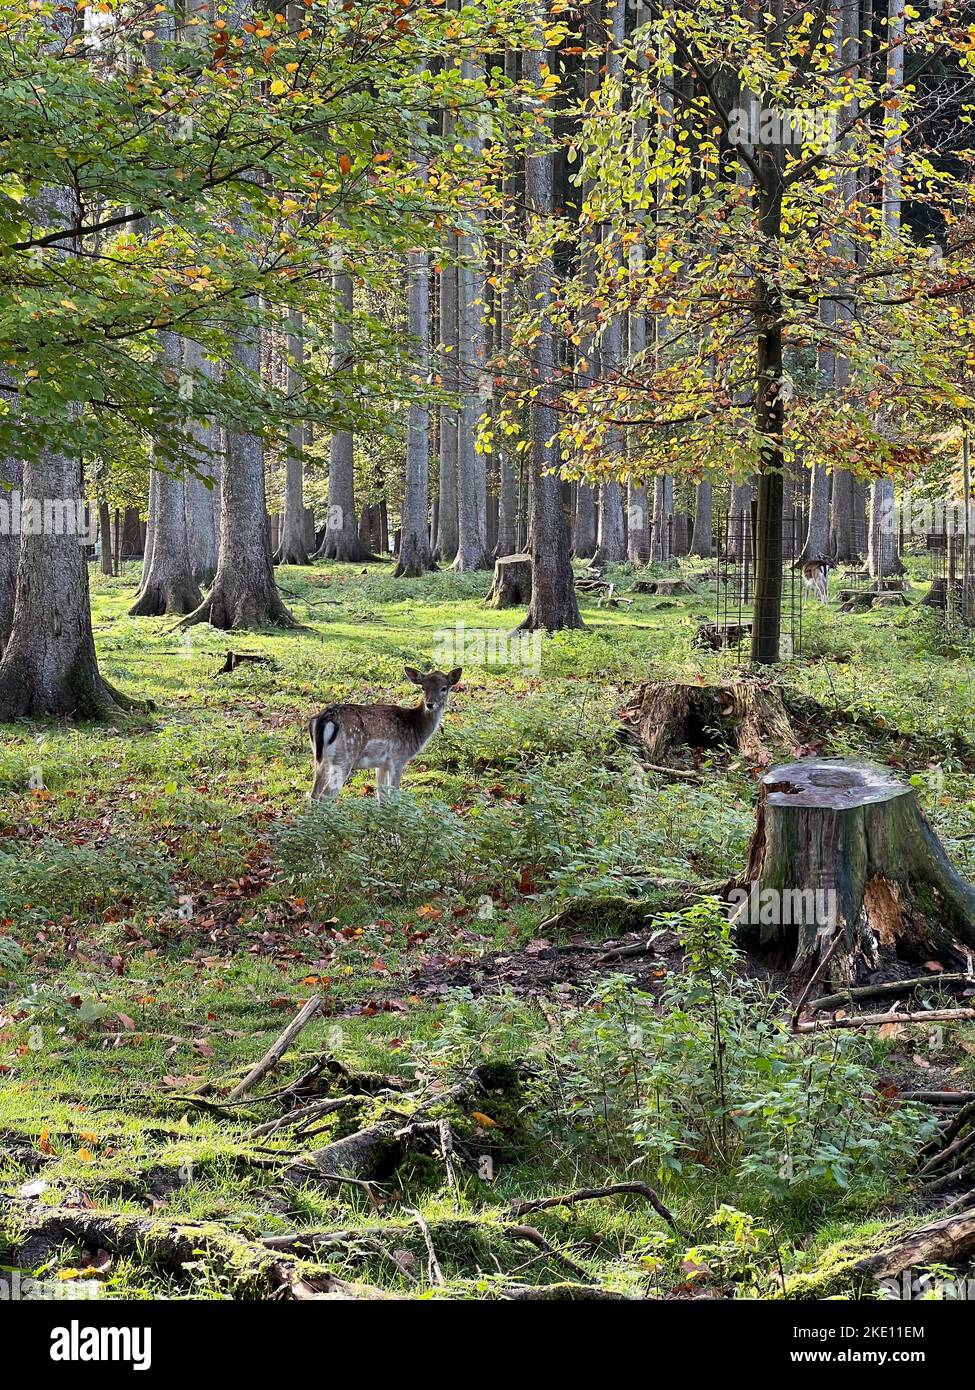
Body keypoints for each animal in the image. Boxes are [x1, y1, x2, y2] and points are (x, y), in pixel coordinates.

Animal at [308, 666, 462, 802]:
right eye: (423, 687)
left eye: (444, 688)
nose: (429, 704)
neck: (415, 727)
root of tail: (325, 719)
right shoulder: (398, 759)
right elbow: (394, 796)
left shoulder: (381, 764)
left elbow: (381, 797)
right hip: (344, 758)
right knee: (324, 796)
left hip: (320, 759)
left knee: (313, 794)